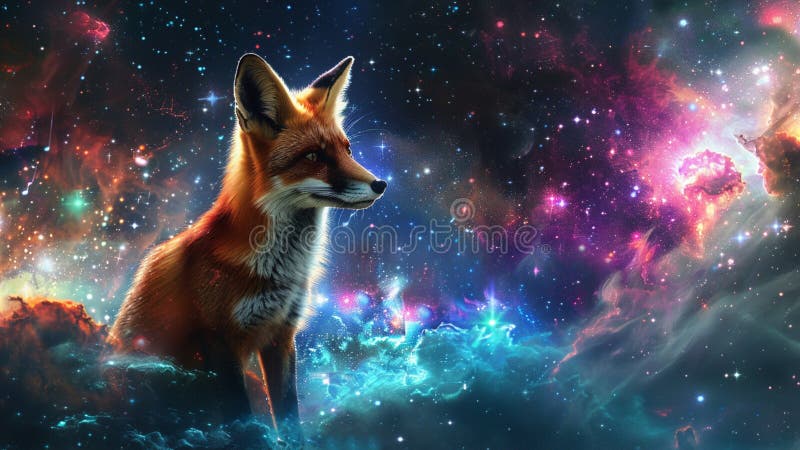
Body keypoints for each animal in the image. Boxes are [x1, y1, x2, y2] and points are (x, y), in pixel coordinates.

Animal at [109, 54, 386, 439]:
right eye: (314, 156)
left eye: (347, 149)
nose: (380, 184)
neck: (278, 269)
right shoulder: (217, 341)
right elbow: (238, 414)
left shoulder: (281, 335)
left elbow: (288, 412)